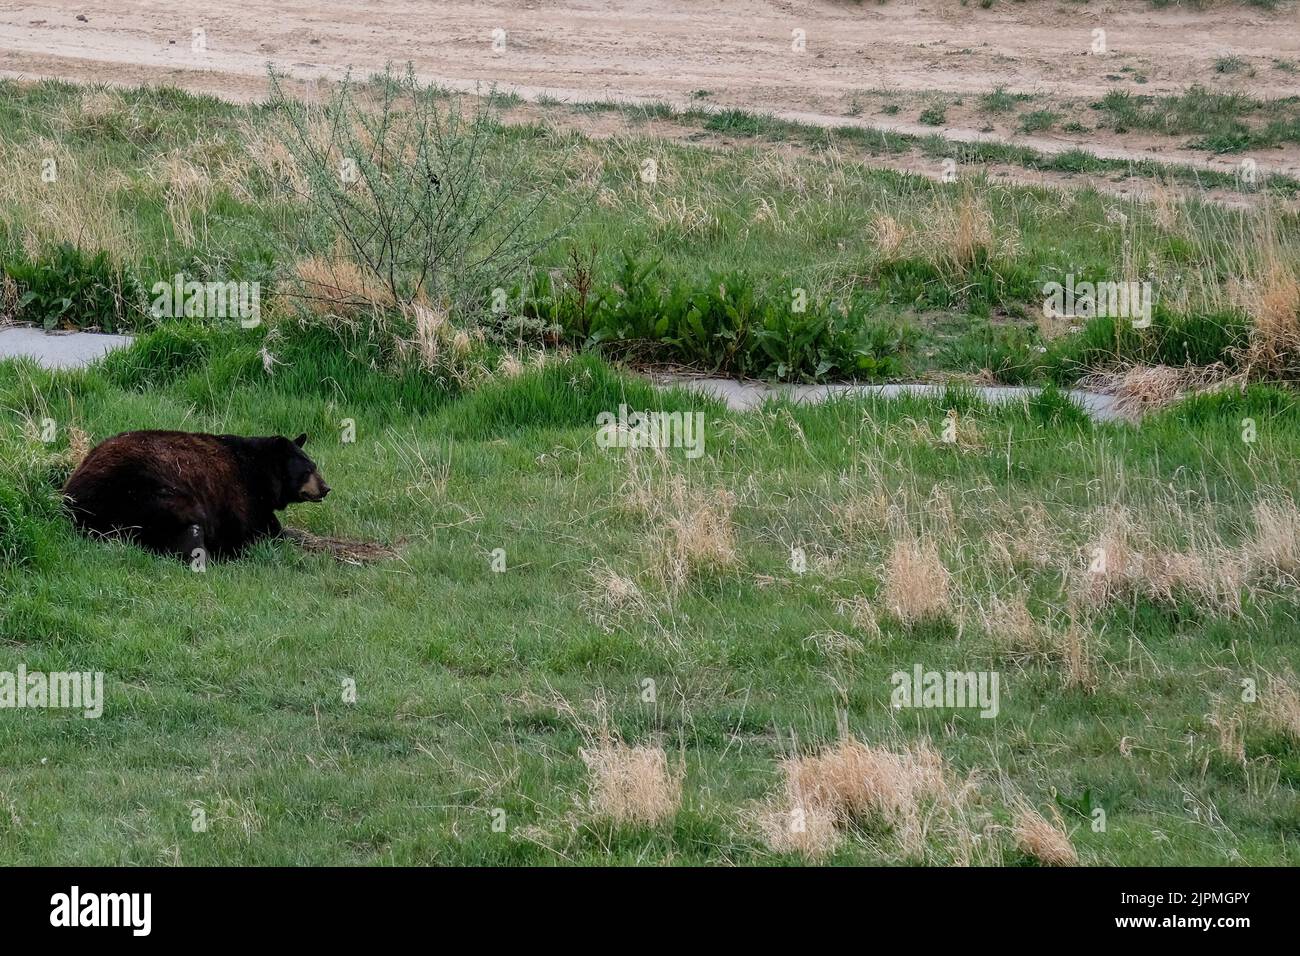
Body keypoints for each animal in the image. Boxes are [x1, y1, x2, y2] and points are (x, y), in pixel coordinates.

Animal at [62, 430, 330, 560]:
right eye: (307, 470)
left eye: (314, 466)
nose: (326, 488)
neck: (258, 472)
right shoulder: (238, 496)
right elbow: (259, 528)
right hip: (141, 492)